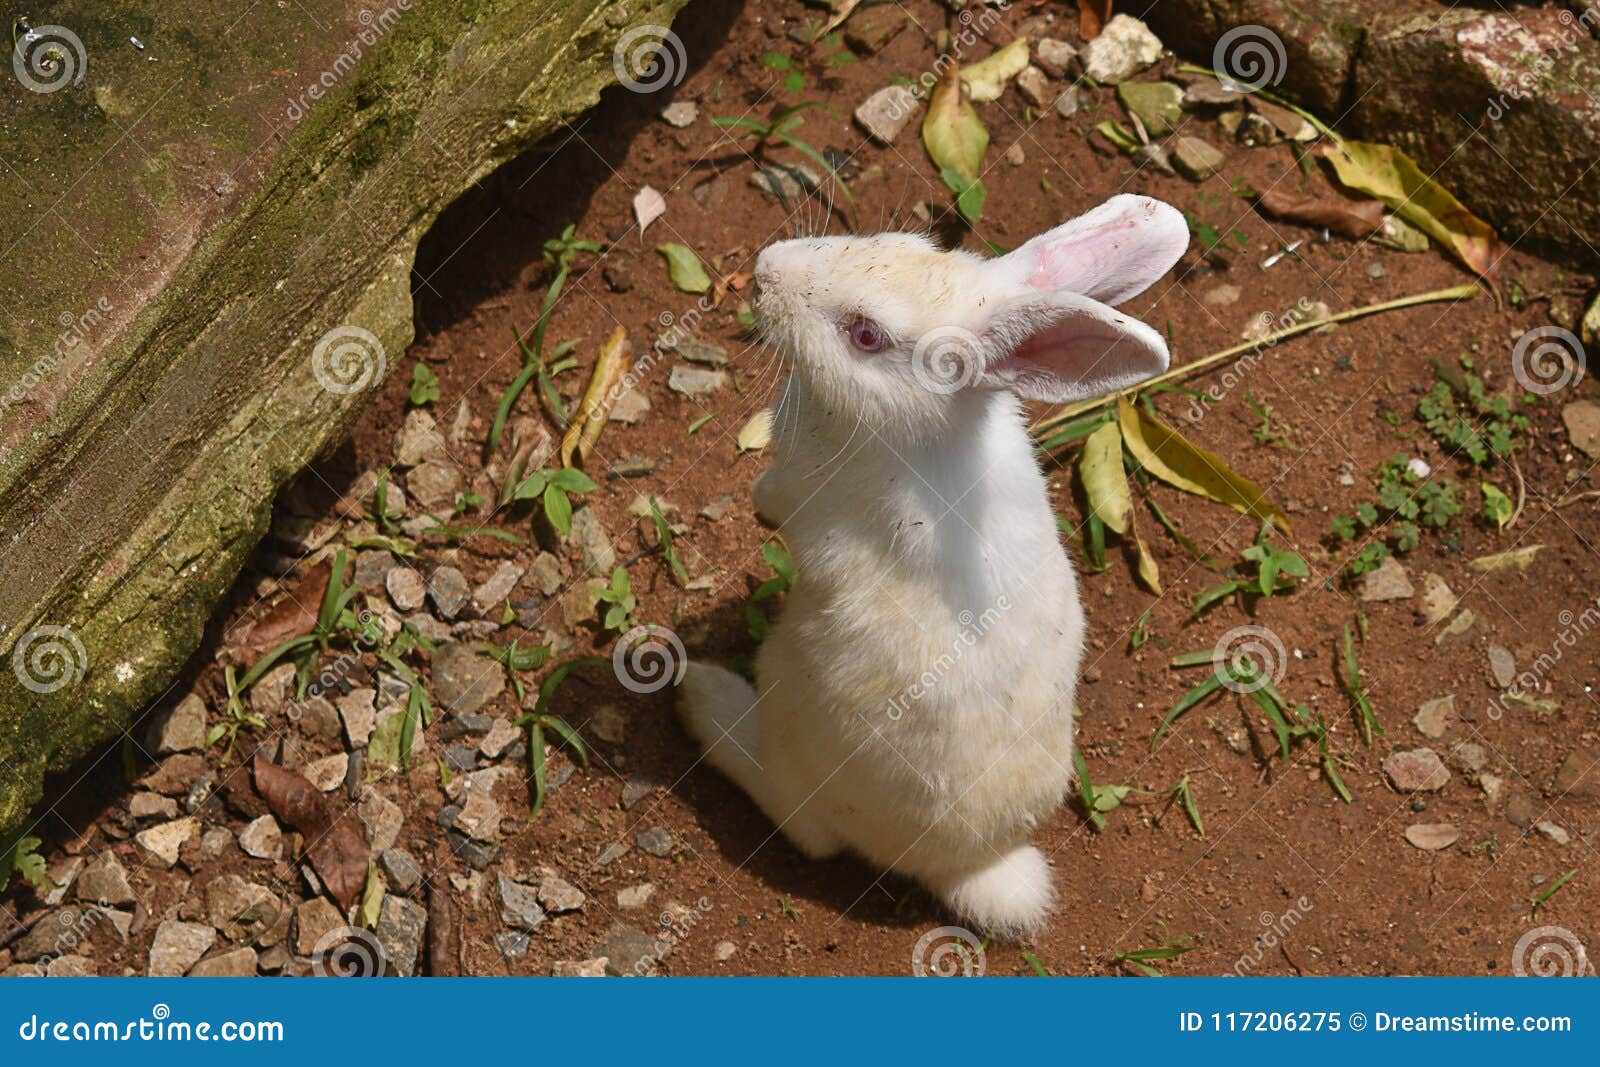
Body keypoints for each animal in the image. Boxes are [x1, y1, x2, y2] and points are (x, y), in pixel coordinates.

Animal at [676, 194, 1188, 938]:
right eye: (907, 240)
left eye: (866, 335)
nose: (765, 272)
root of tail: (974, 867)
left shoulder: (802, 492)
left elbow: (778, 501)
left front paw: (757, 508)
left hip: (790, 715)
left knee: (802, 822)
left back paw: (703, 698)